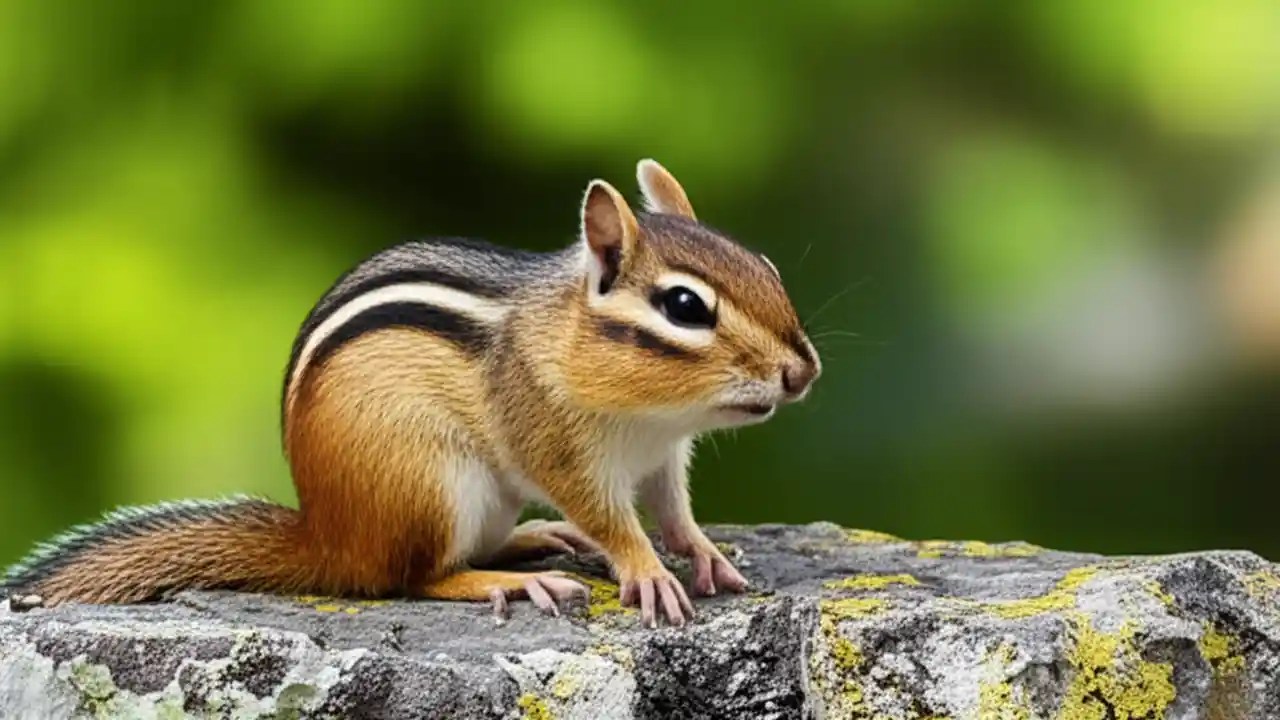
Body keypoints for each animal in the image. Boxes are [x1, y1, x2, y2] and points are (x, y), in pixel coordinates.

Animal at [2, 159, 820, 627]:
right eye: (685, 307)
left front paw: (701, 553)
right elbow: (610, 517)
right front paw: (646, 571)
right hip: (434, 485)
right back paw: (512, 581)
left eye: (767, 267)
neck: (652, 416)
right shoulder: (556, 442)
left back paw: (536, 542)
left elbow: (674, 510)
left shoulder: (664, 455)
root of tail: (328, 536)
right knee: (409, 579)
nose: (802, 372)